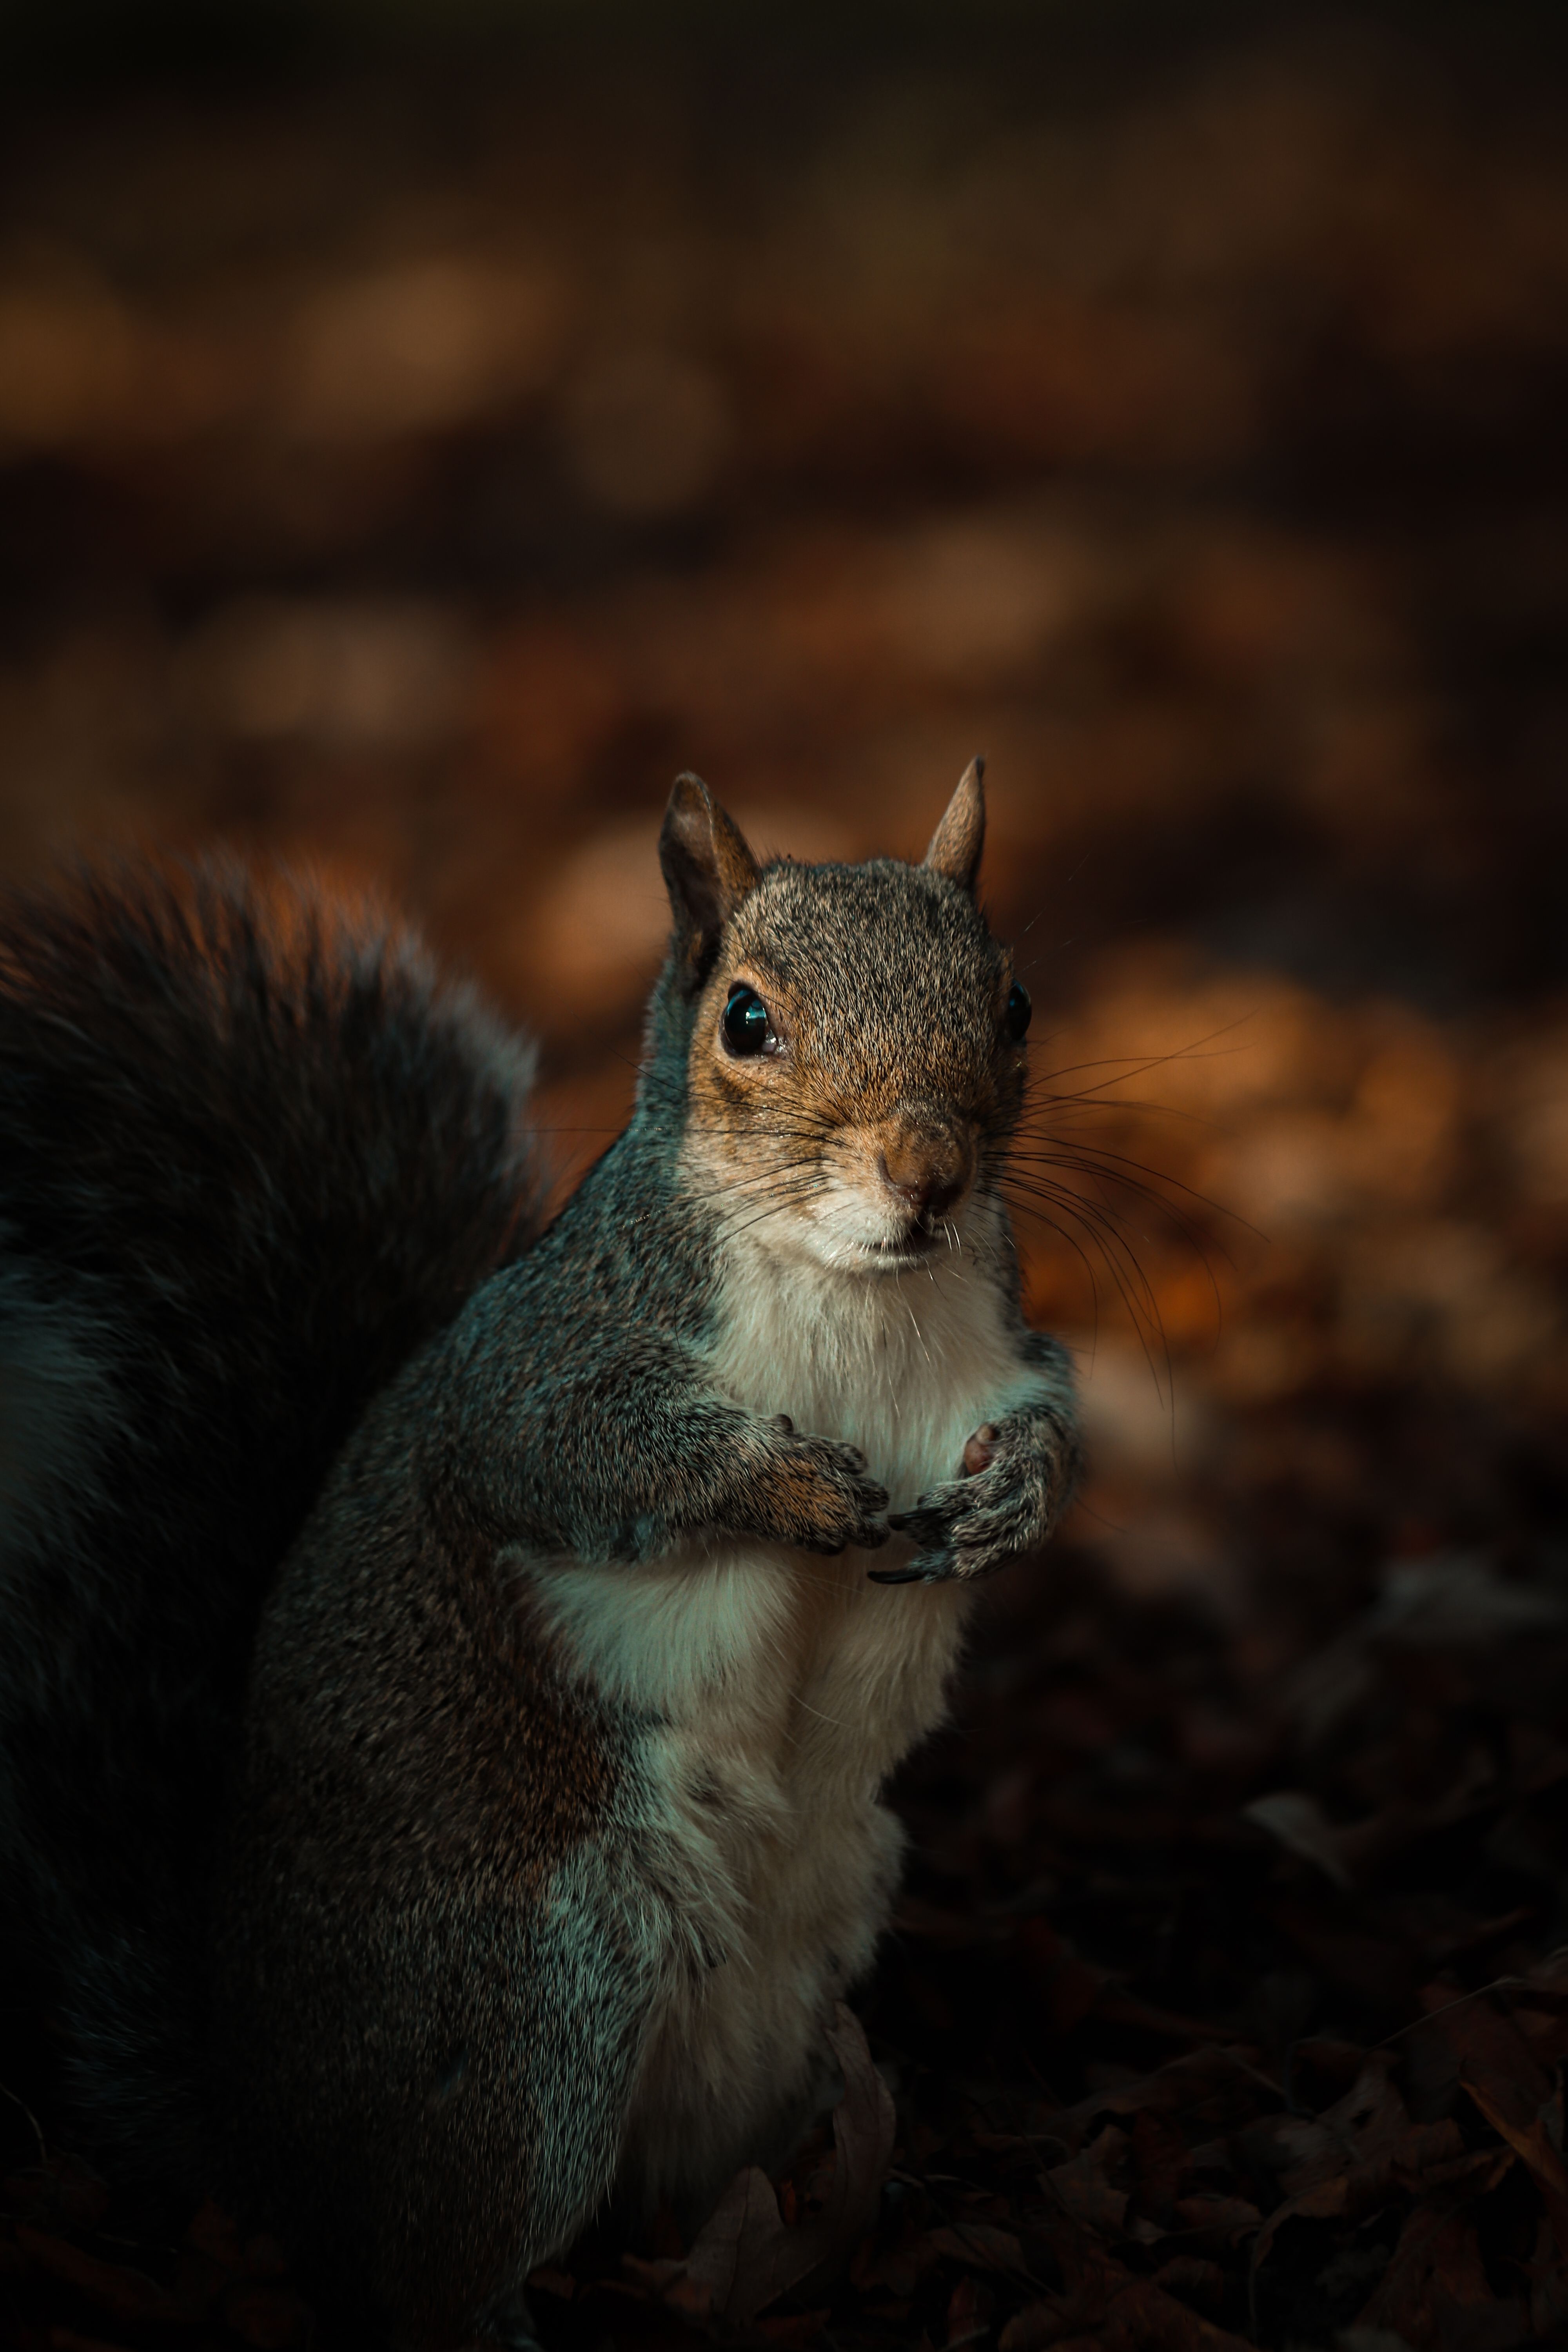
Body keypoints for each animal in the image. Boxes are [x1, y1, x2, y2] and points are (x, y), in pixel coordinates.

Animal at [0, 762, 1081, 2345]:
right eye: (743, 1019)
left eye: (1011, 1003)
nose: (929, 1174)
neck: (861, 1296)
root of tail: (268, 2131)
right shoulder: (538, 1367)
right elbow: (582, 1453)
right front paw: (792, 1489)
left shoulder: (995, 1355)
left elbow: (1052, 1413)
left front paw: (1020, 1501)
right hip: (527, 2013)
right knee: (426, 2261)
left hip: (802, 1952)